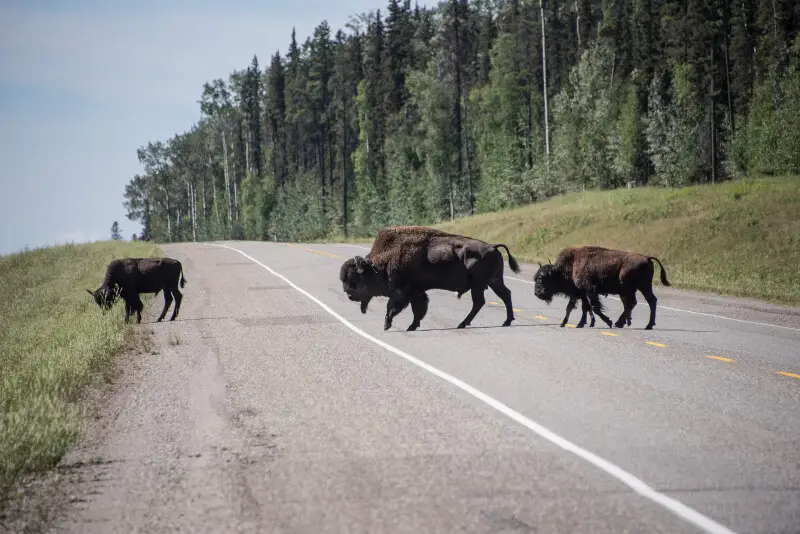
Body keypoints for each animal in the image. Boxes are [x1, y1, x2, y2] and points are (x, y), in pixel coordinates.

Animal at [339, 225, 521, 331]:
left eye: (354, 281)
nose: (349, 295)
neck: (379, 265)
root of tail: (492, 247)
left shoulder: (402, 292)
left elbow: (393, 307)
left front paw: (387, 325)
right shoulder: (416, 293)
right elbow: (418, 309)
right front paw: (412, 326)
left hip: (479, 285)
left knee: (480, 302)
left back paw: (463, 324)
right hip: (493, 281)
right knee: (505, 295)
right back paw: (506, 321)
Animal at [533, 245, 670, 330]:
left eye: (541, 278)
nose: (537, 293)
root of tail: (647, 258)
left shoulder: (588, 291)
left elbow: (594, 308)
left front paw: (608, 322)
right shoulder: (581, 294)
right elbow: (581, 308)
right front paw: (577, 324)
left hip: (640, 287)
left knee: (647, 301)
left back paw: (644, 325)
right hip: (633, 289)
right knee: (635, 303)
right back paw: (625, 323)